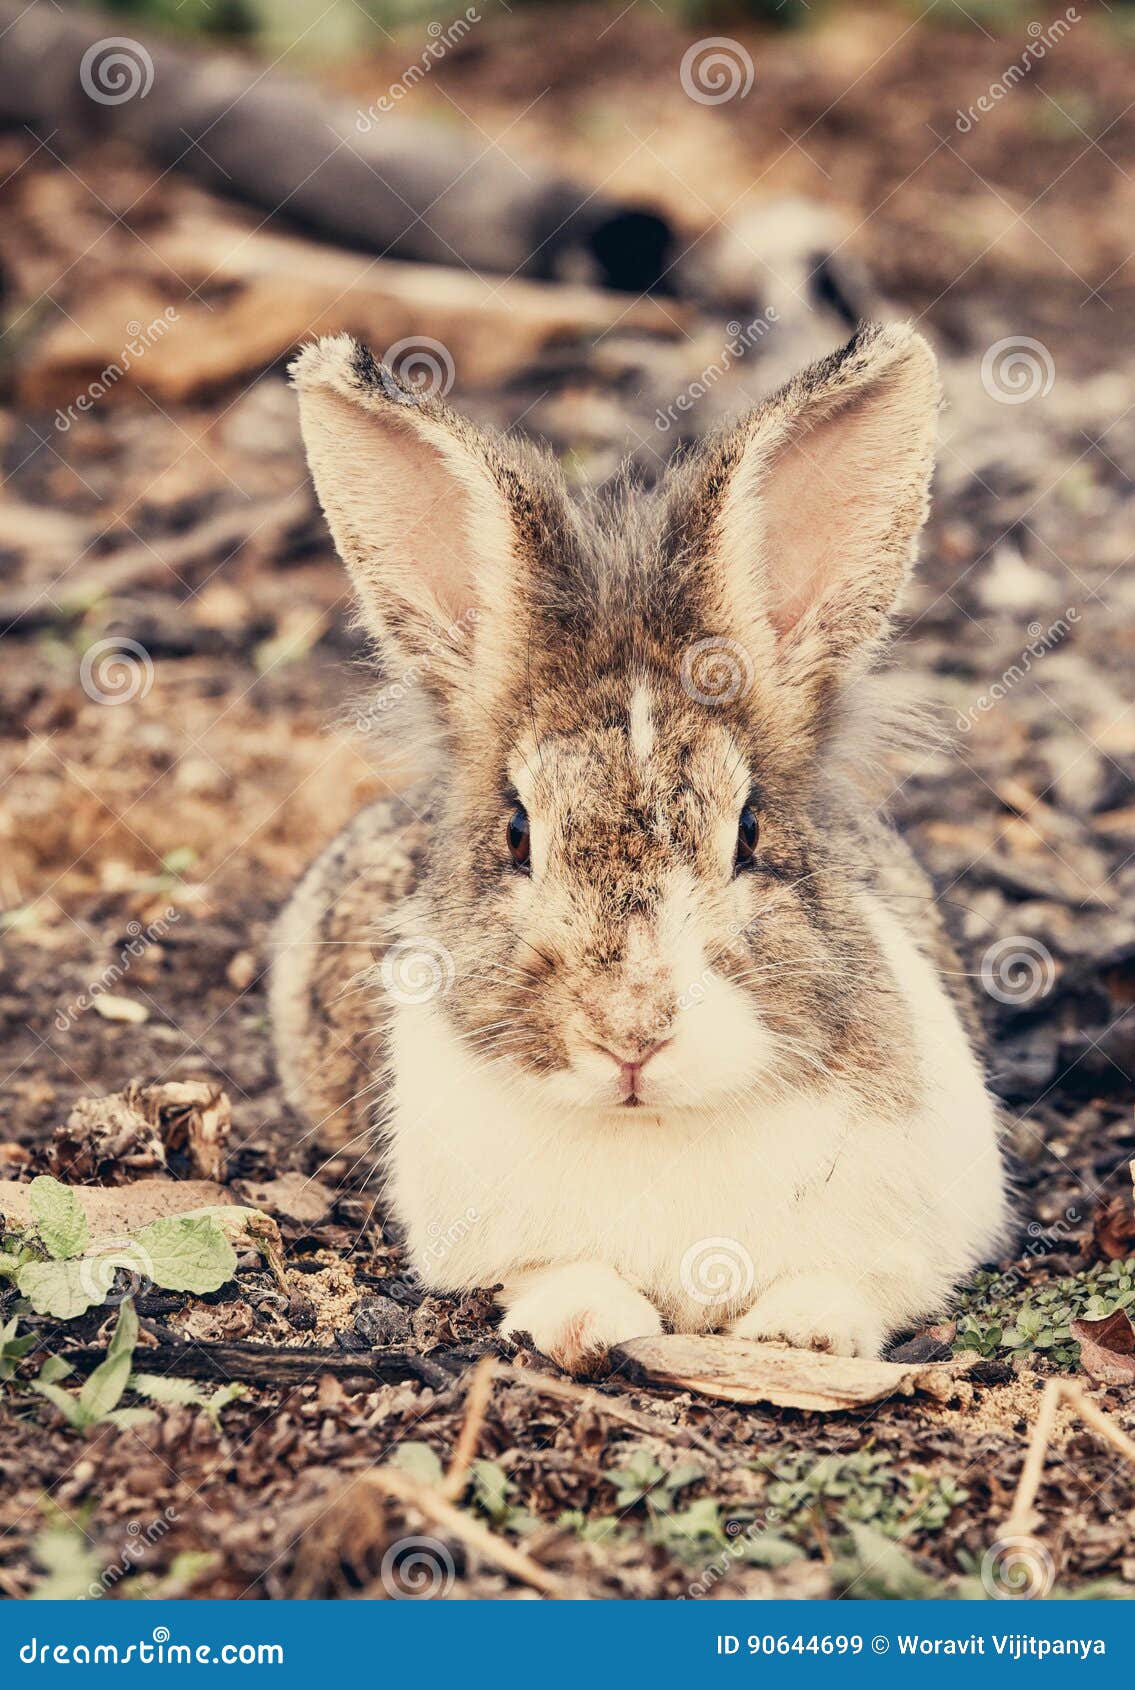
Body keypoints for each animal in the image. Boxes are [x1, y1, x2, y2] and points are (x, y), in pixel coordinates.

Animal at [270, 322, 1008, 1374]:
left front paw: (802, 1334)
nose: (629, 1035)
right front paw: (585, 1324)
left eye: (748, 833)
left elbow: (853, 1287)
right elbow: (552, 1273)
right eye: (518, 834)